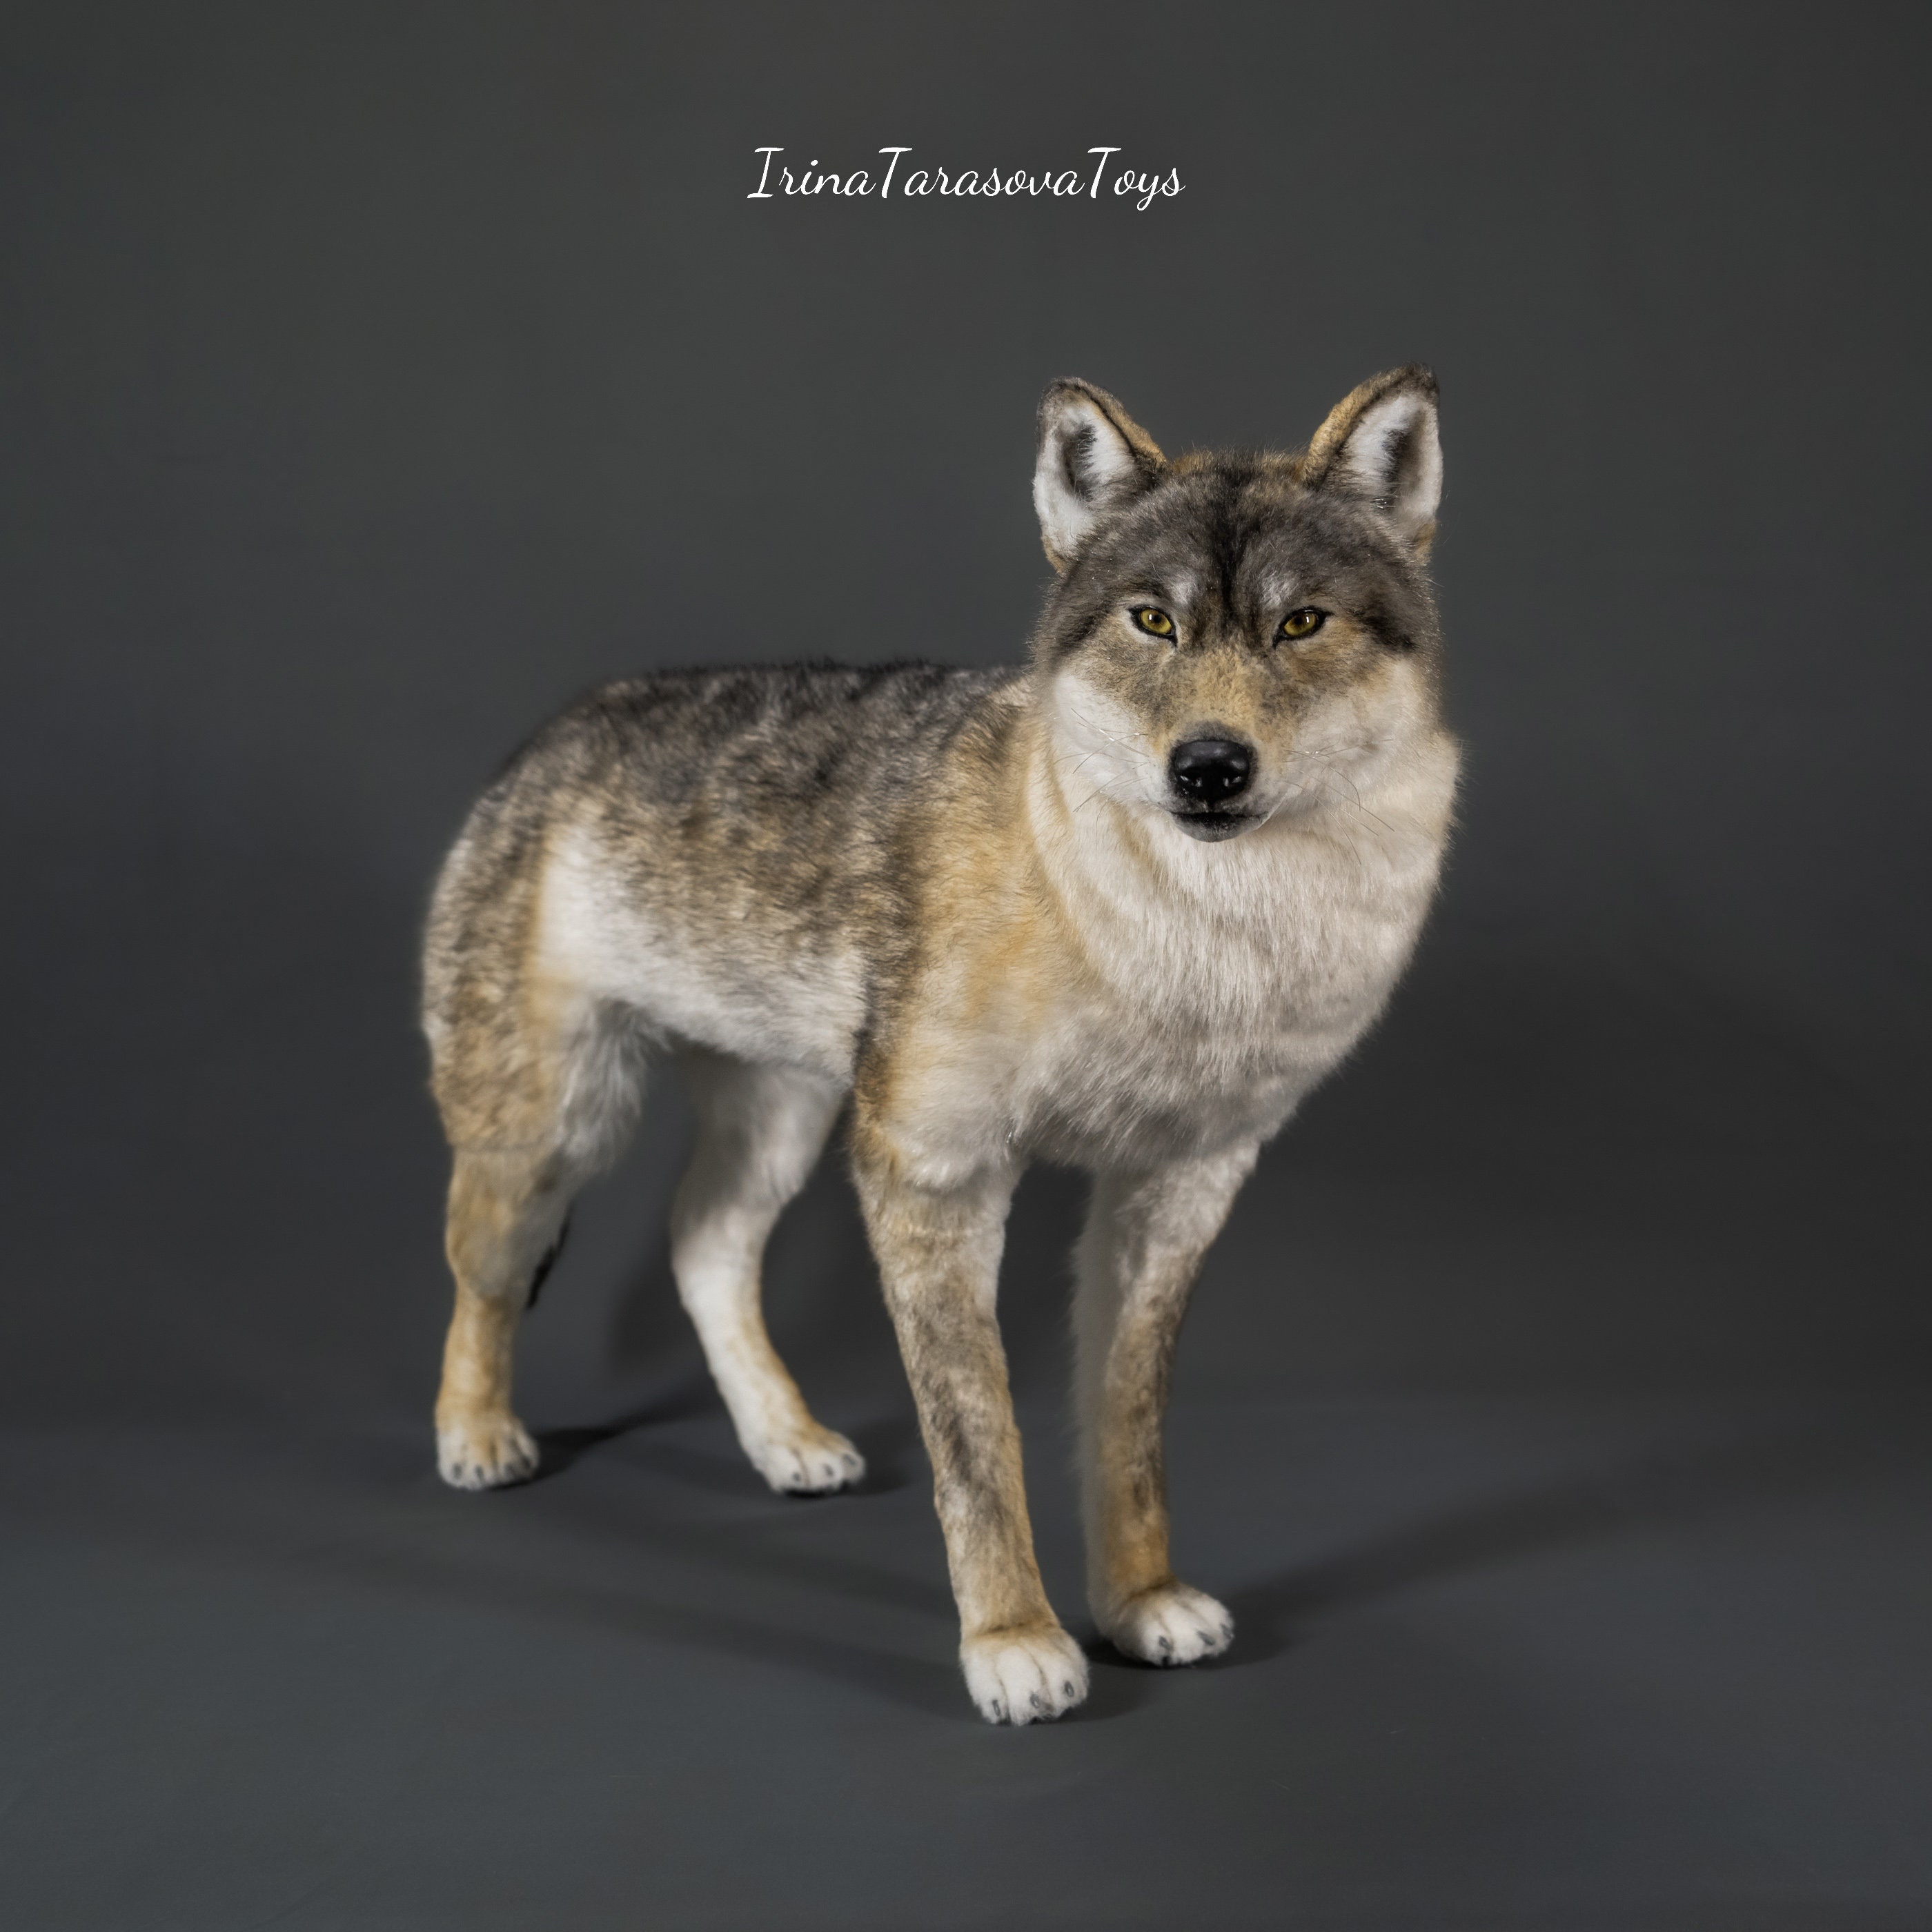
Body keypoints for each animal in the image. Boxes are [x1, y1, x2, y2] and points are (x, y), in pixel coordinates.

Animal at [422, 367, 1459, 1724]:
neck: (1185, 938)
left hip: (780, 1124)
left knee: (703, 1245)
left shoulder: (1178, 1189)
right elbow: (980, 1443)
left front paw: (1139, 1602)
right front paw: (1013, 1641)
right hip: (555, 1140)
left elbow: (1125, 1430)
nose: (1209, 770)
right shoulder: (934, 1176)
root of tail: (547, 739)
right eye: (1153, 624)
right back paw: (476, 1437)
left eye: (1301, 626)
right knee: (480, 1279)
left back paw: (785, 1443)